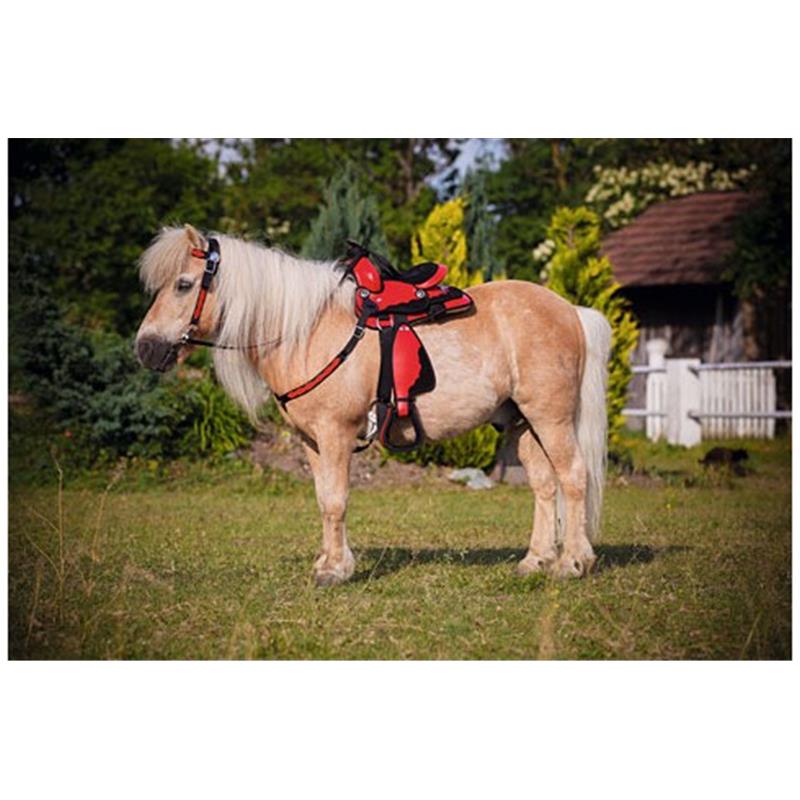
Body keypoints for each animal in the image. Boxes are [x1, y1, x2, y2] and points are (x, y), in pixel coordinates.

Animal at [135, 224, 612, 586]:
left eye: (184, 285)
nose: (145, 348)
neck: (307, 331)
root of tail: (570, 310)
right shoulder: (312, 441)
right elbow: (323, 497)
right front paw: (330, 560)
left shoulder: (336, 434)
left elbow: (336, 500)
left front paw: (334, 571)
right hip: (522, 424)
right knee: (545, 486)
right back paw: (536, 560)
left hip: (550, 417)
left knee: (573, 477)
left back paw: (571, 563)